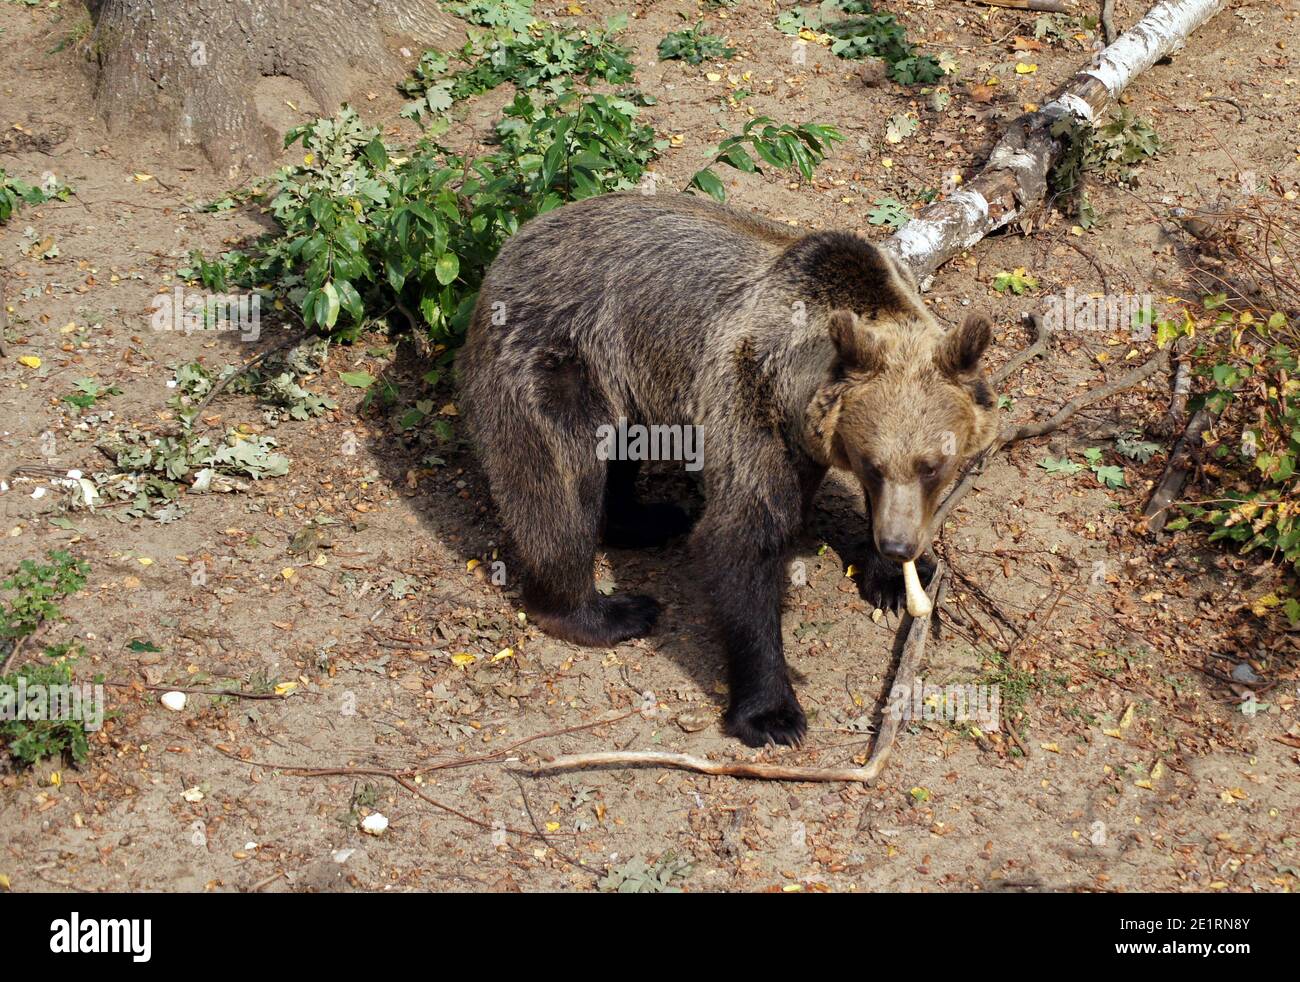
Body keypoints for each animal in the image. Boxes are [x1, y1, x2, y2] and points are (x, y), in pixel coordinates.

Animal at [458, 191, 997, 747]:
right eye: (873, 463)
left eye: (933, 466)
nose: (897, 545)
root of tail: (510, 247)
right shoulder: (748, 399)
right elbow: (743, 541)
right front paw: (772, 713)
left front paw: (895, 579)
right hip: (552, 357)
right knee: (561, 481)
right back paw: (607, 610)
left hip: (627, 378)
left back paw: (648, 518)